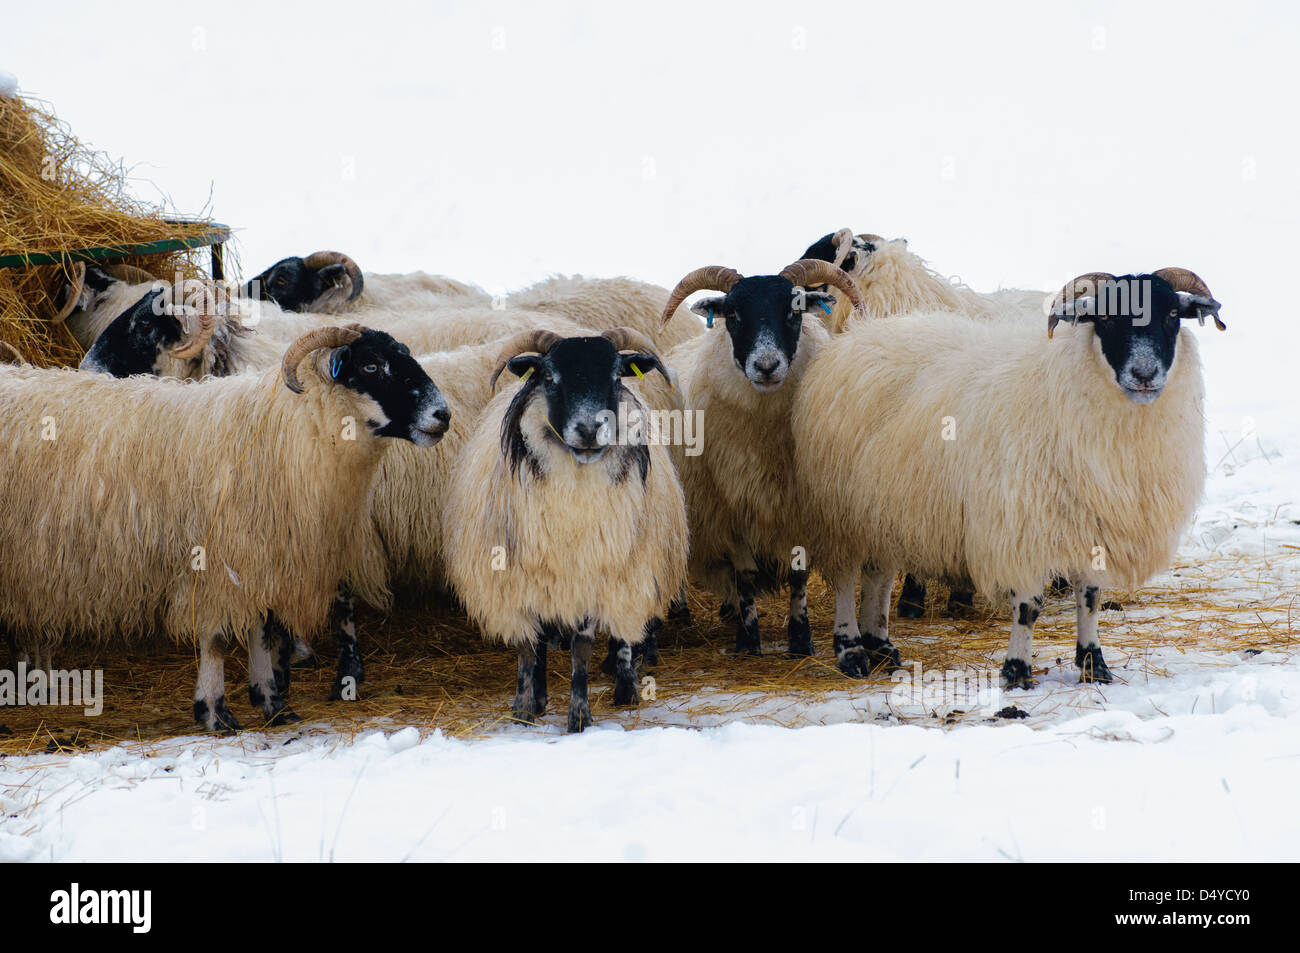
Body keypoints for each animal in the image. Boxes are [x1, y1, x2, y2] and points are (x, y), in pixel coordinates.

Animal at [0, 322, 450, 729]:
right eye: (371, 365)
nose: (443, 414)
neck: (282, 435)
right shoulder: (215, 561)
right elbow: (216, 639)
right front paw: (214, 711)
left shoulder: (261, 555)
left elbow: (262, 631)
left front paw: (272, 702)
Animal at [442, 328, 688, 731]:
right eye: (549, 377)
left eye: (616, 376)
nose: (589, 429)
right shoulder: (519, 580)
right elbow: (528, 646)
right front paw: (525, 706)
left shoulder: (591, 574)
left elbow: (581, 650)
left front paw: (579, 715)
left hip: (628, 570)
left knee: (623, 632)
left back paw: (626, 688)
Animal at [652, 258, 873, 671]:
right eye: (733, 314)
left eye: (794, 310)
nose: (767, 366)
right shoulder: (732, 506)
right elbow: (747, 575)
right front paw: (748, 640)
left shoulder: (799, 505)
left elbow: (799, 575)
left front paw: (800, 640)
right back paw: (682, 611)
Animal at [790, 267, 1223, 688]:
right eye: (1105, 318)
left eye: (1172, 314)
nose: (1144, 373)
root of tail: (857, 335)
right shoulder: (1020, 525)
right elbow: (1028, 606)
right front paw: (1017, 671)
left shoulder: (1090, 522)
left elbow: (1090, 598)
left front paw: (1093, 665)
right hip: (839, 508)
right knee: (846, 576)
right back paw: (852, 651)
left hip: (883, 505)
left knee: (878, 574)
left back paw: (880, 645)